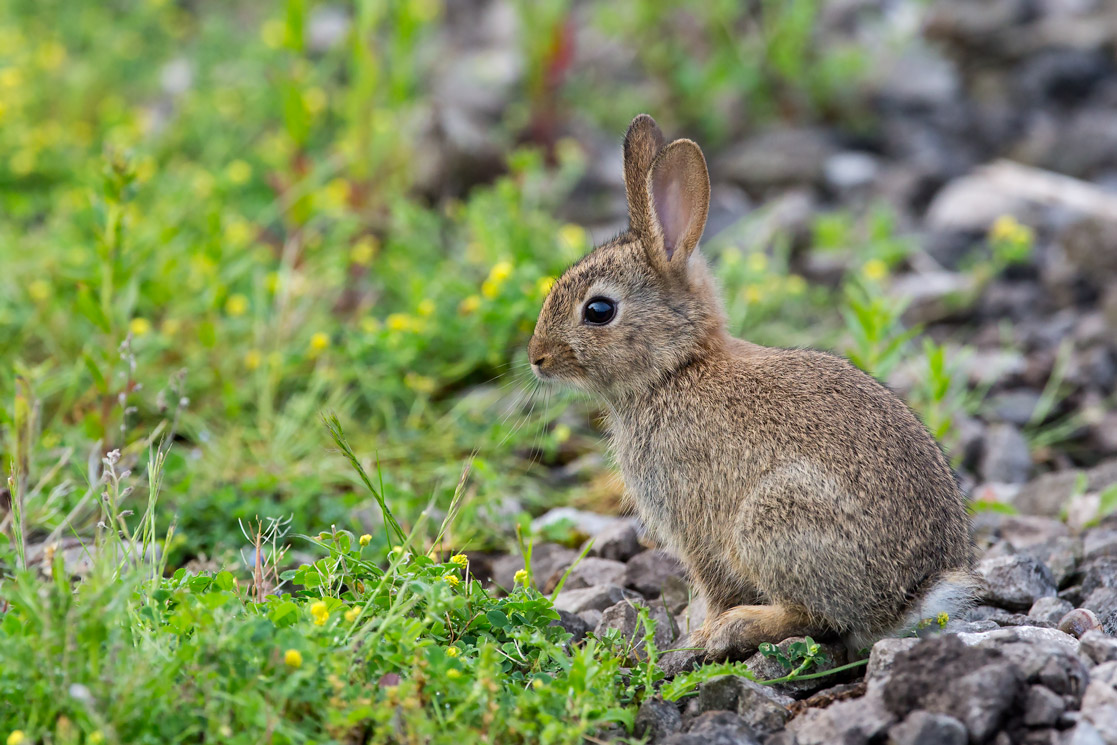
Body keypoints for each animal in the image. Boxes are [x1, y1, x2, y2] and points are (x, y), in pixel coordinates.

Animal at [528, 114, 976, 664]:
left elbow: (712, 584)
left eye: (598, 310)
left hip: (773, 522)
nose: (537, 358)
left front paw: (696, 633)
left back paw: (736, 627)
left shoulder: (696, 526)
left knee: (815, 618)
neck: (676, 369)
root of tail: (905, 602)